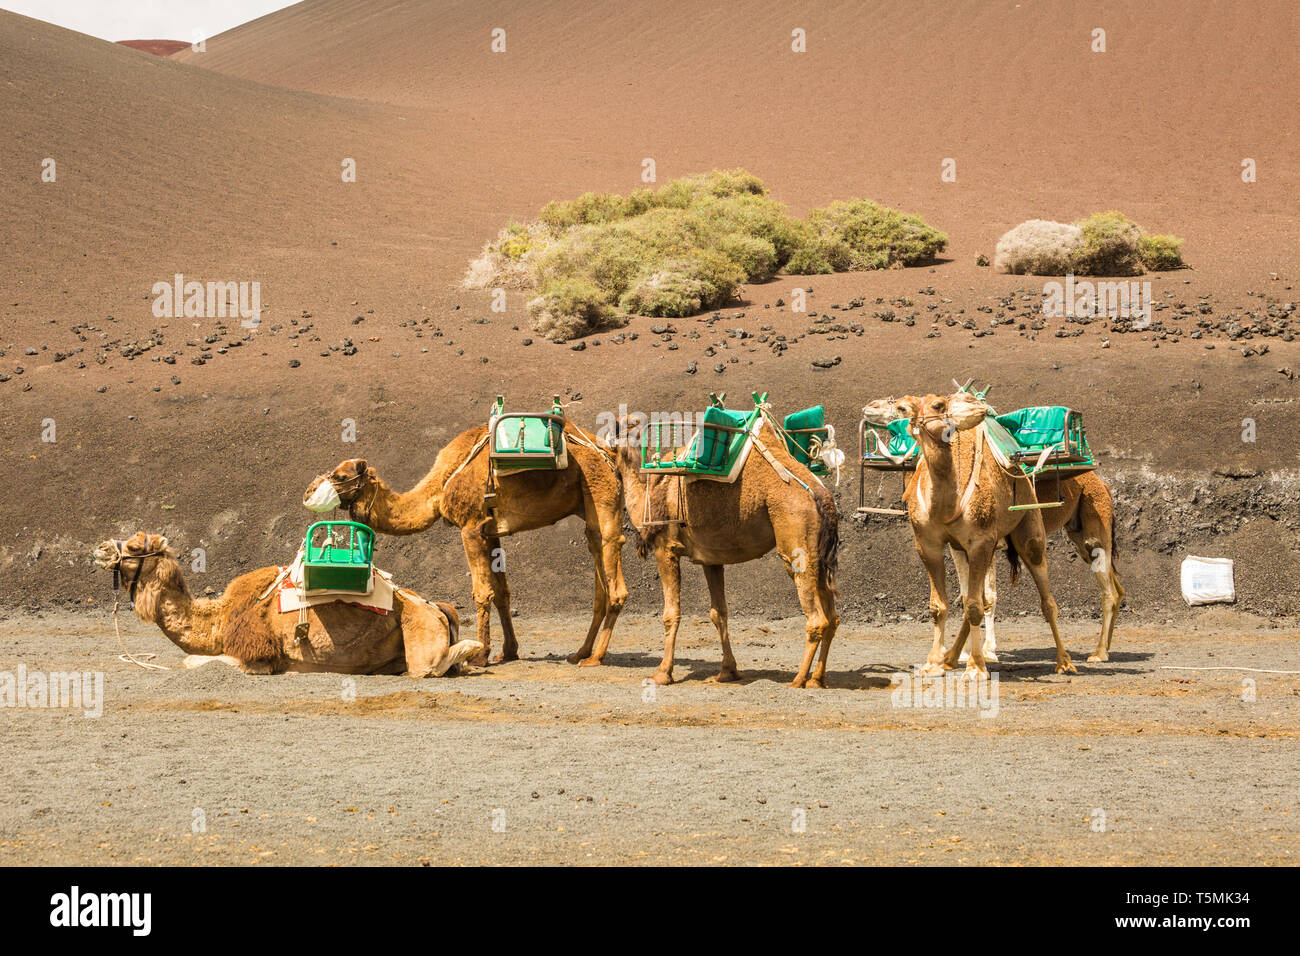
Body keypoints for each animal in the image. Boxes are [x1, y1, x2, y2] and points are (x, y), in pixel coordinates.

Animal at [92, 532, 481, 675]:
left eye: (134, 546)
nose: (100, 548)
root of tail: (434, 606)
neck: (219, 619)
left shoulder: (258, 657)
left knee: (432, 665)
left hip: (419, 631)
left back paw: (474, 650)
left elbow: (195, 662)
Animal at [303, 421, 626, 667]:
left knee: (614, 572)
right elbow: (502, 592)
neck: (441, 484)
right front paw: (507, 651)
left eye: (340, 475)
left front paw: (479, 655)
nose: (307, 491)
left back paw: (595, 657)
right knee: (598, 564)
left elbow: (482, 592)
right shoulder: (490, 530)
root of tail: (608, 452)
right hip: (587, 504)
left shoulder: (470, 526)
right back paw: (580, 652)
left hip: (600, 489)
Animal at [613, 411, 839, 688]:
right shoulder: (711, 559)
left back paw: (798, 680)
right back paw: (817, 679)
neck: (651, 488)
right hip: (820, 557)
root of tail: (822, 496)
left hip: (796, 541)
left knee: (816, 618)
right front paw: (728, 671)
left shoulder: (666, 548)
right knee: (833, 618)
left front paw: (662, 673)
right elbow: (718, 613)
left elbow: (671, 613)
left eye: (619, 427)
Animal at [863, 393, 1074, 677]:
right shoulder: (928, 544)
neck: (944, 505)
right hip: (966, 548)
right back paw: (951, 657)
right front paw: (933, 663)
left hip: (1029, 531)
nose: (870, 406)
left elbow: (976, 604)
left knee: (1046, 599)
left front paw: (976, 667)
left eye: (939, 404)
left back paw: (1064, 662)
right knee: (972, 598)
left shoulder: (981, 542)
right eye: (902, 406)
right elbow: (941, 605)